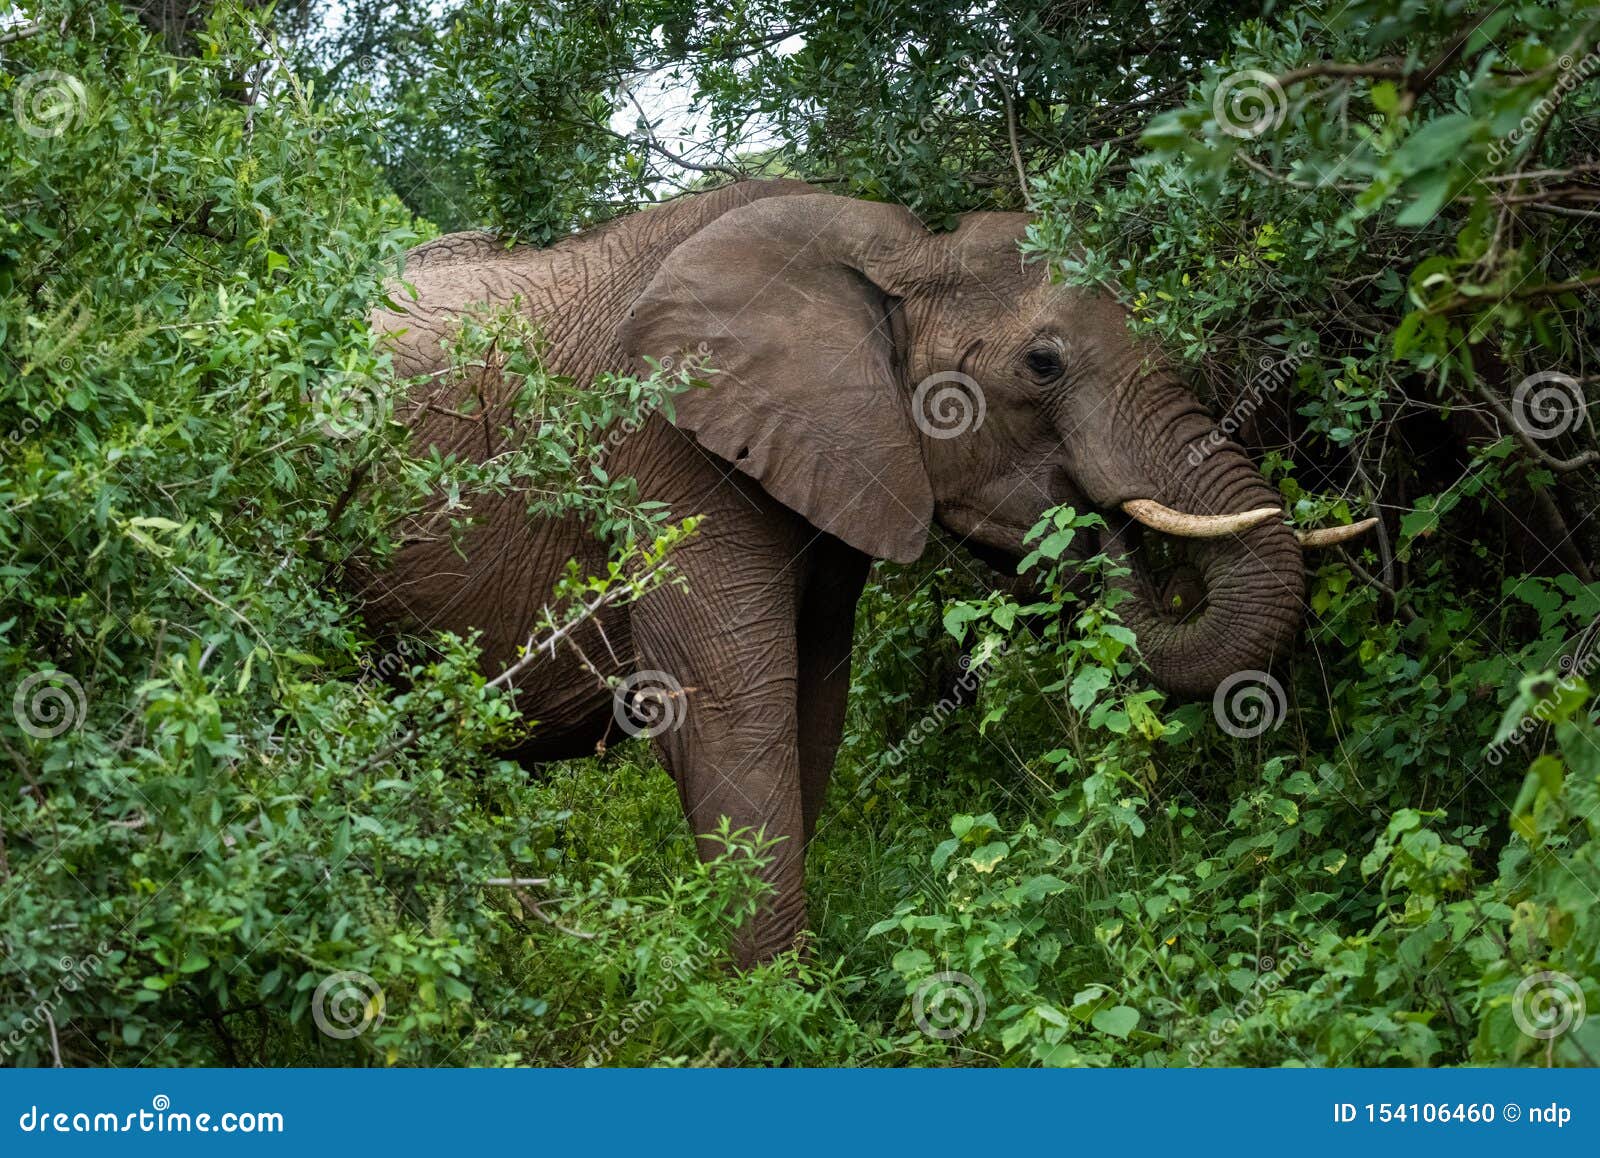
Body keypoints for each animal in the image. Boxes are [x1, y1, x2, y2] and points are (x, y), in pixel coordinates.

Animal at [361, 180, 1370, 964]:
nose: (1091, 520)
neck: (896, 256)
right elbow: (729, 711)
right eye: (1043, 363)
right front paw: (770, 1006)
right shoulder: (666, 456)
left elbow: (814, 701)